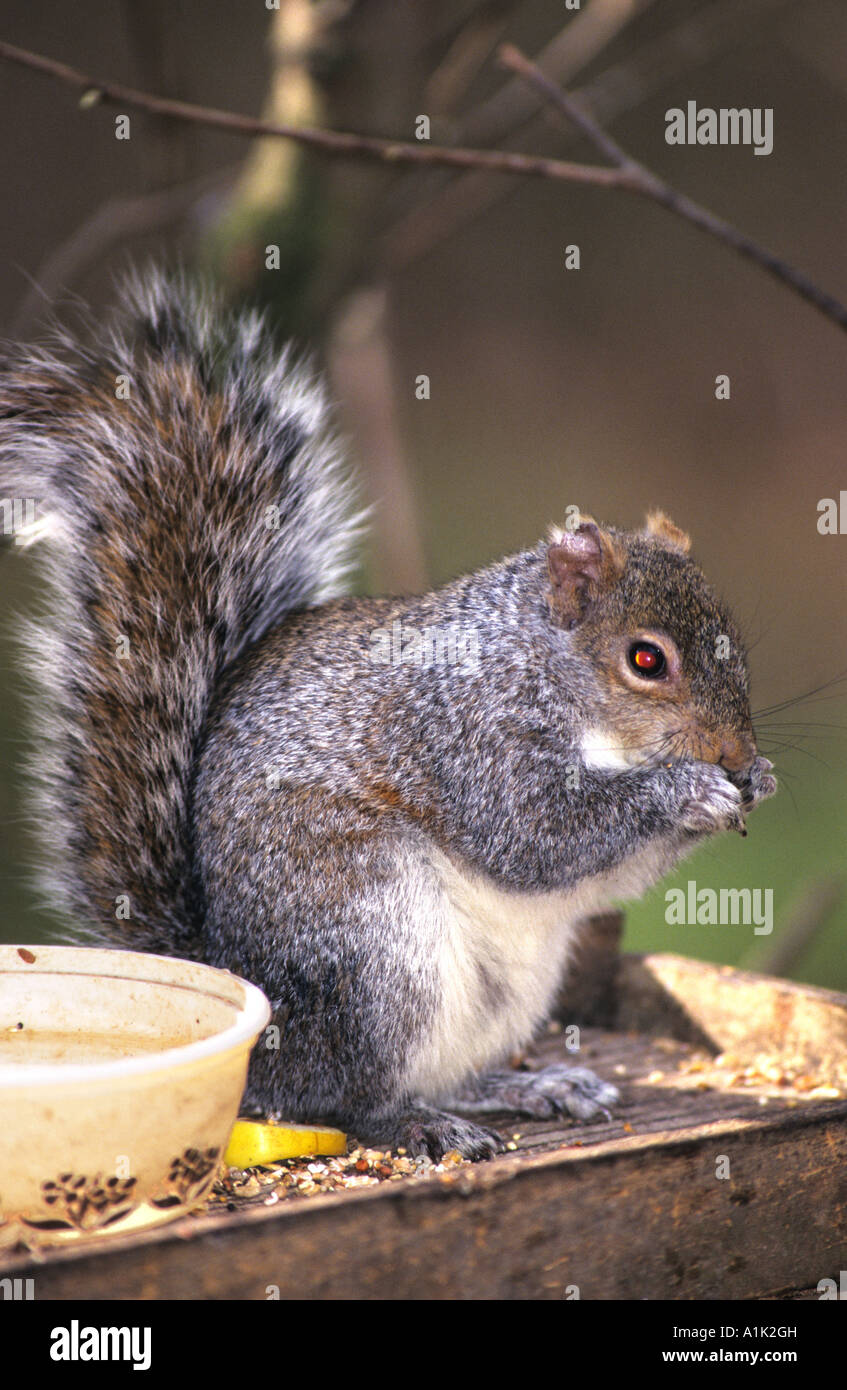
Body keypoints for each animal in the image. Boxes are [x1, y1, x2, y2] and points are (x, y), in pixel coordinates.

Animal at [0, 268, 776, 1160]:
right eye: (646, 660)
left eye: (733, 642)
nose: (732, 753)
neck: (538, 666)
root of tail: (241, 985)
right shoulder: (468, 737)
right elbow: (536, 838)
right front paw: (686, 792)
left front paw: (755, 780)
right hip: (374, 946)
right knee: (343, 1099)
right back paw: (415, 1121)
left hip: (499, 992)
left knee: (439, 1073)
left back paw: (527, 1085)